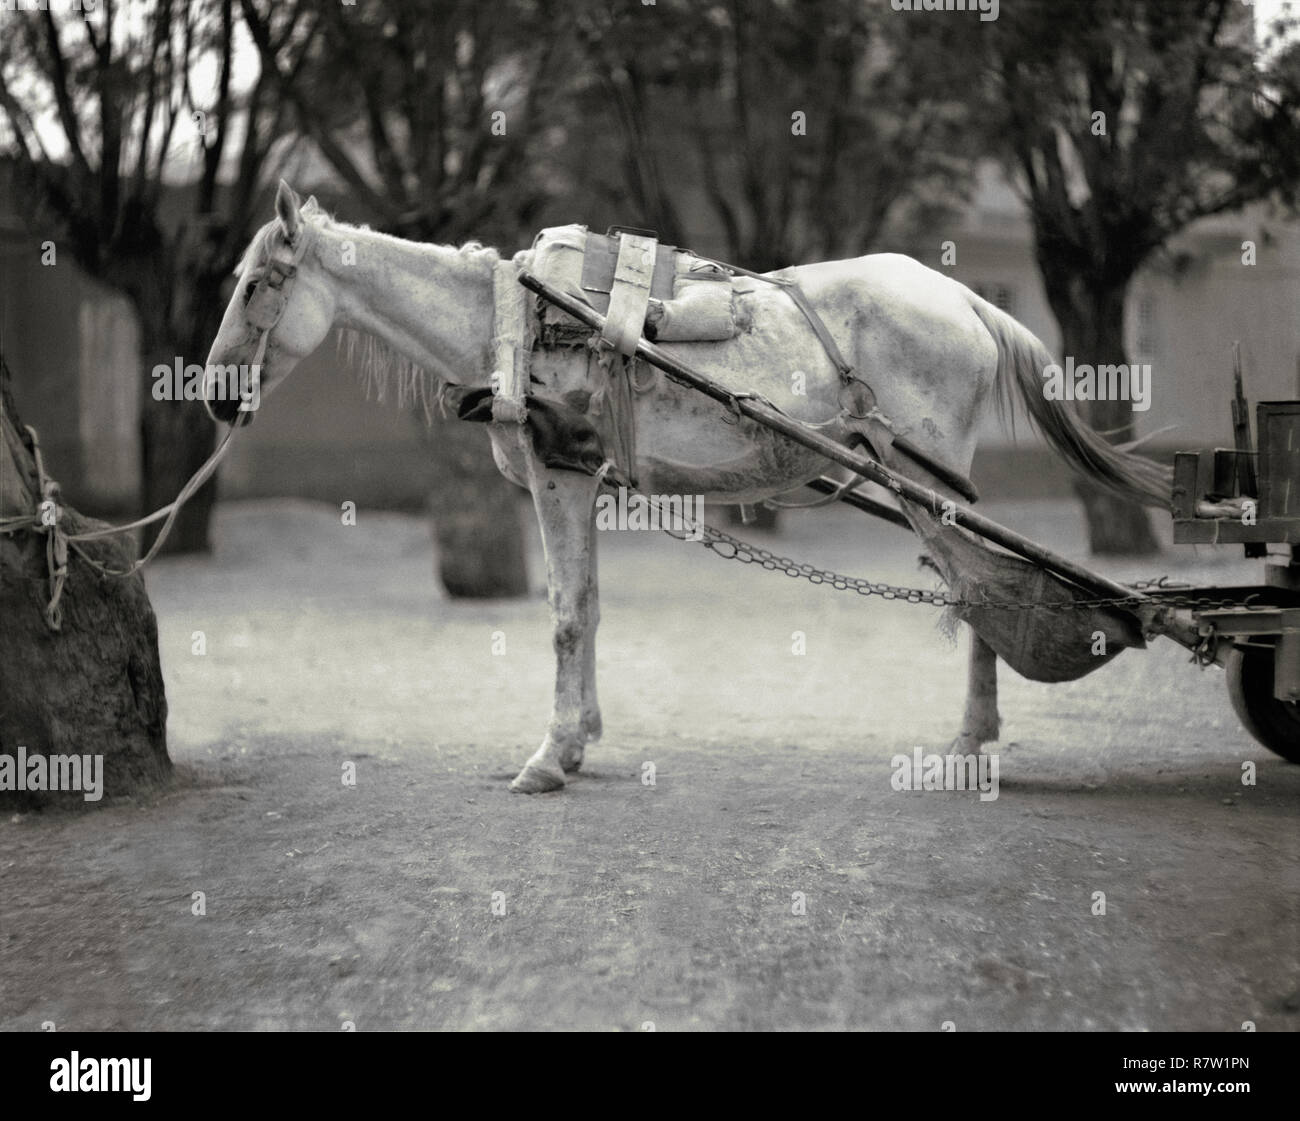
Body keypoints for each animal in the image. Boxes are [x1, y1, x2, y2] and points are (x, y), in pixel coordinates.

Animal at [204, 181, 1171, 793]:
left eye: (254, 285)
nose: (211, 390)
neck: (517, 319)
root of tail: (966, 300)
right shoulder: (581, 477)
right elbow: (588, 607)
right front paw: (582, 740)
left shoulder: (555, 476)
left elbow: (565, 615)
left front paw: (549, 756)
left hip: (927, 485)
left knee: (981, 590)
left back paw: (969, 741)